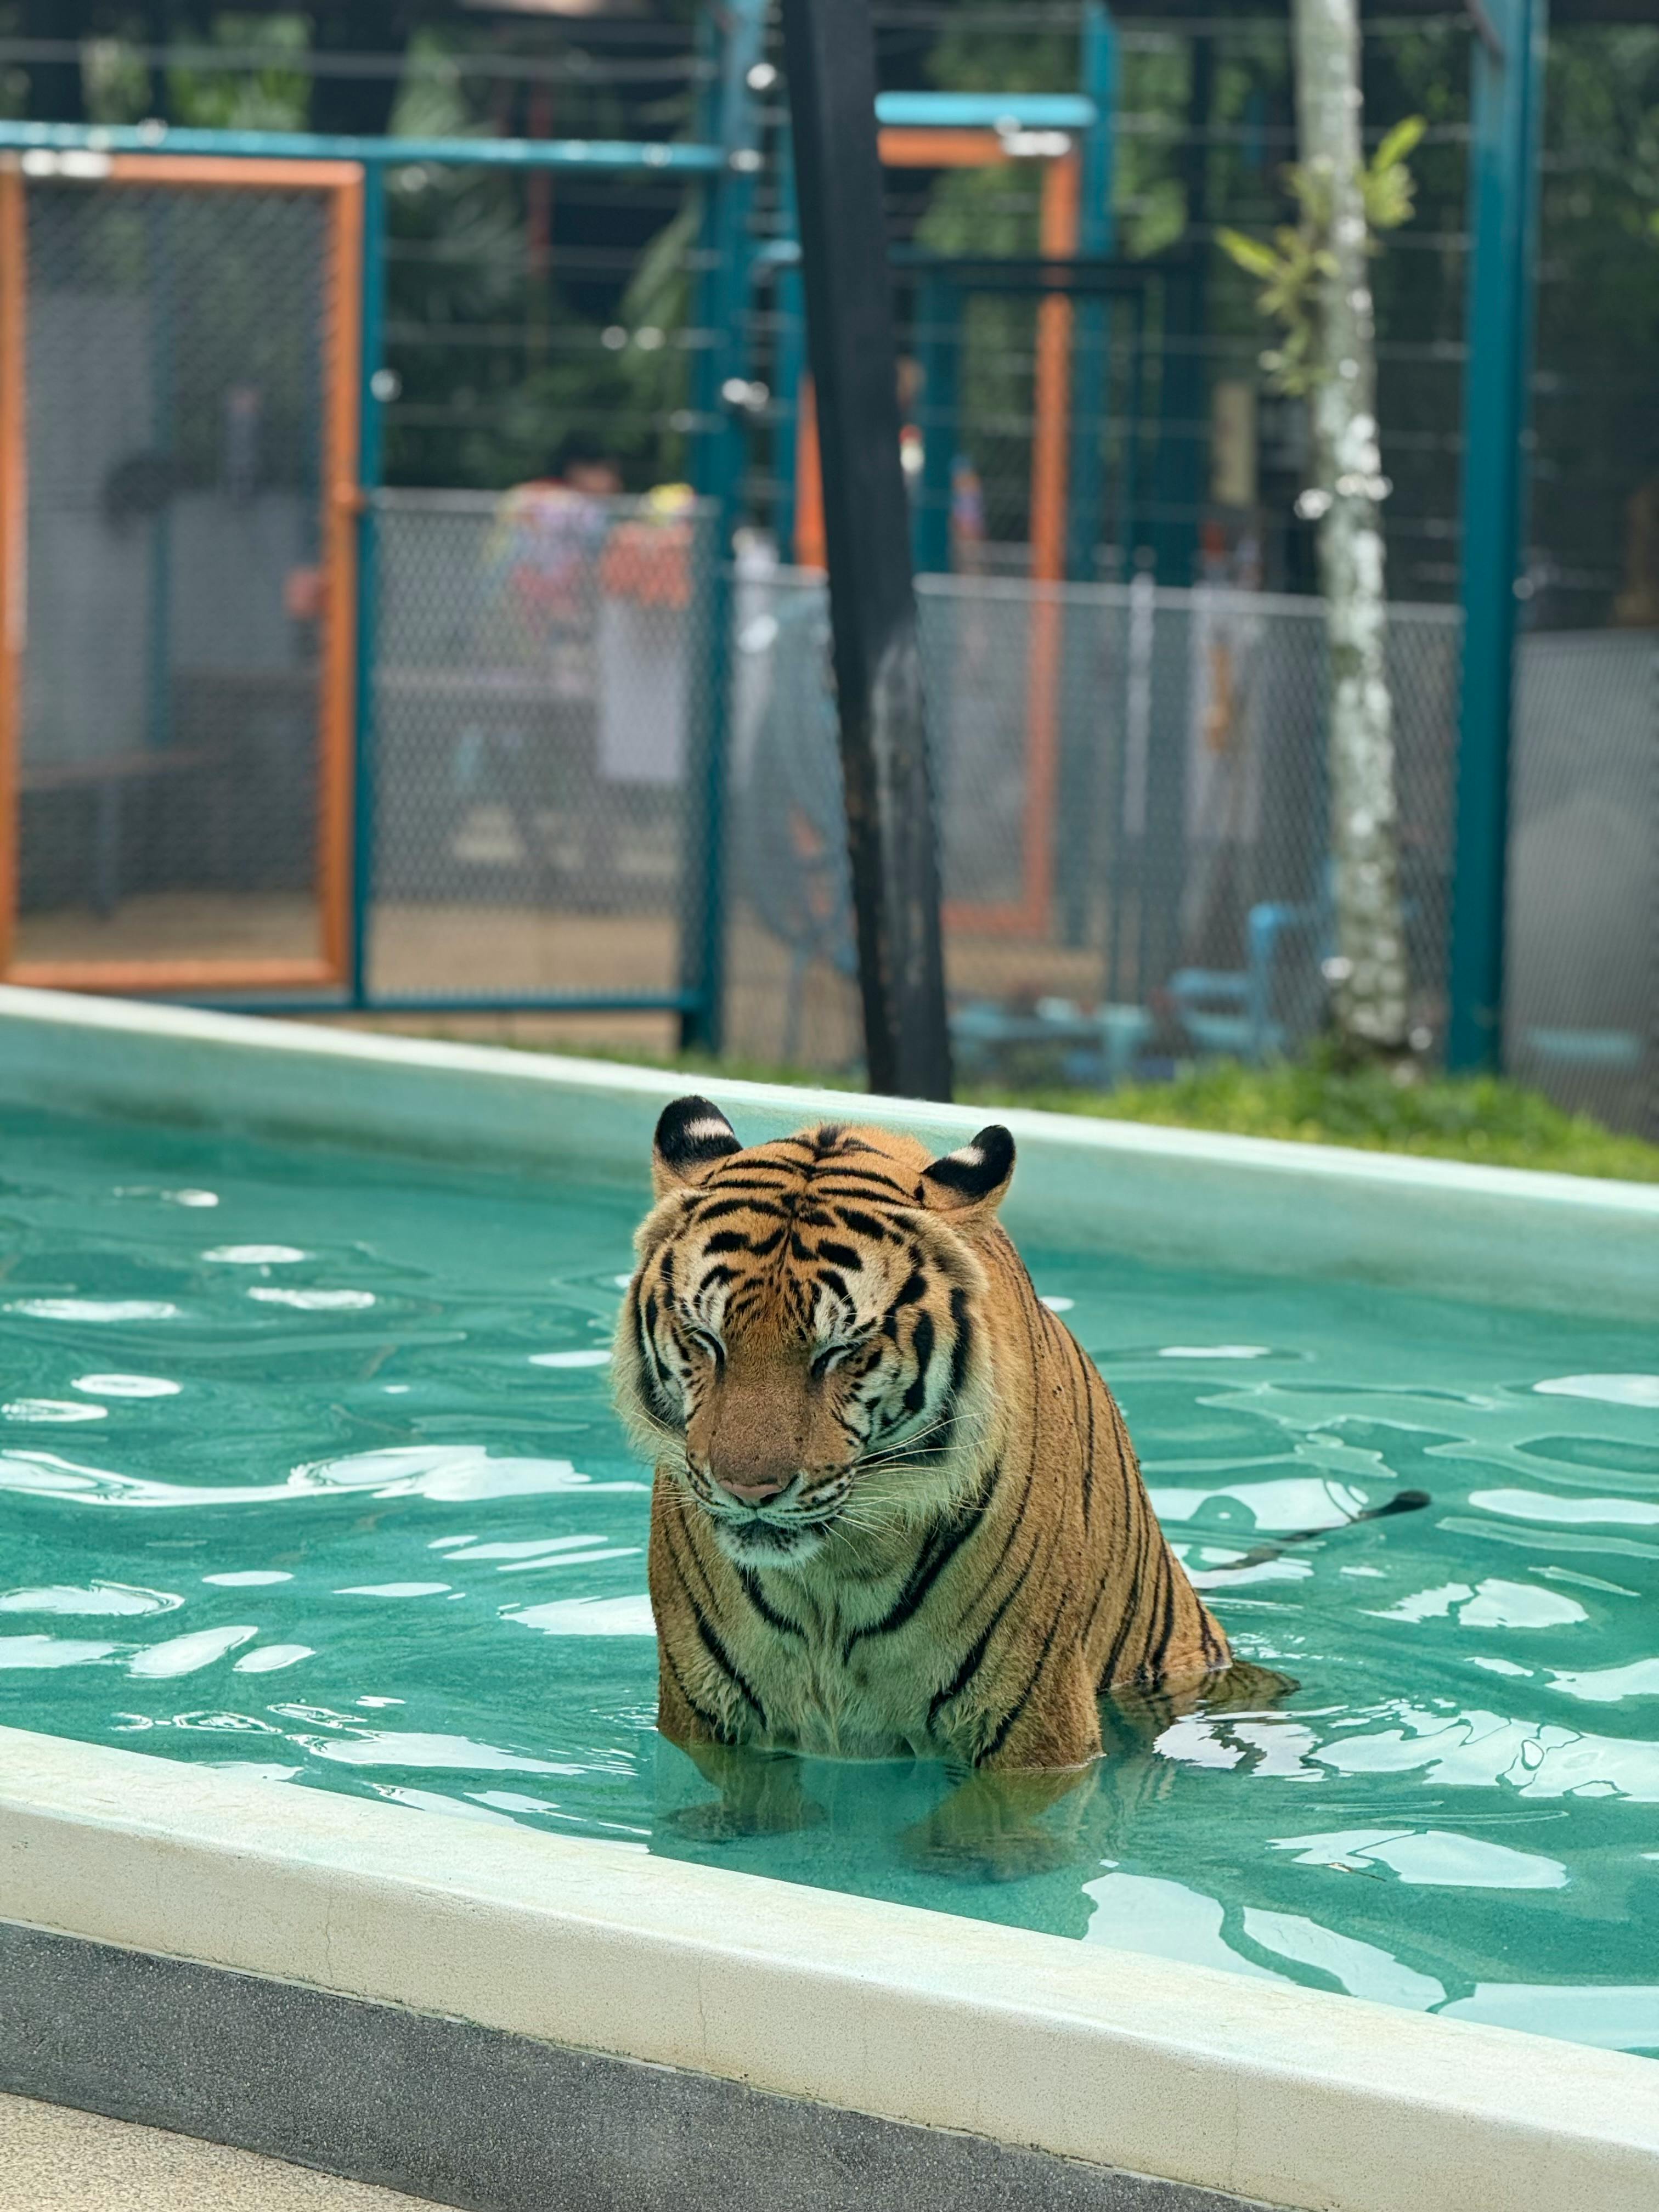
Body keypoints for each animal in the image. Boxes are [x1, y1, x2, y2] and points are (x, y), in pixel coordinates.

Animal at [613, 1097, 1274, 1861]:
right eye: (707, 1341)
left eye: (840, 1352)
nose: (748, 1490)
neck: (833, 1579)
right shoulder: (705, 1710)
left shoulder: (1035, 1721)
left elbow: (998, 1815)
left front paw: (965, 1862)